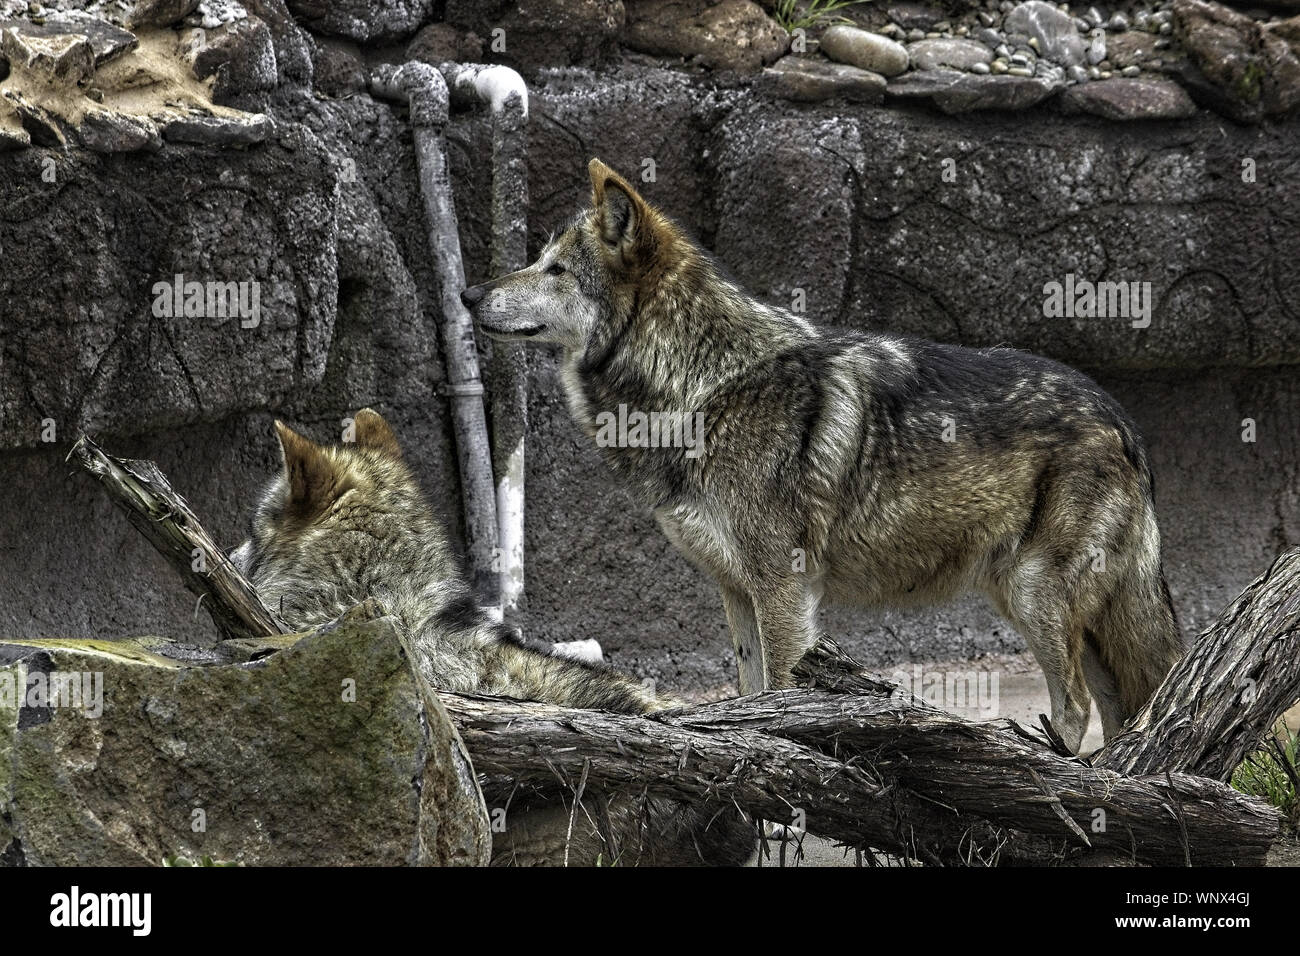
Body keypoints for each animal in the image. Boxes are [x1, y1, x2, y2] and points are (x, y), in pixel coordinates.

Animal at [459, 158, 1186, 753]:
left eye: (555, 270)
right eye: (537, 260)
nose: (468, 294)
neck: (702, 382)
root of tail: (1121, 418)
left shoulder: (783, 584)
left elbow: (783, 690)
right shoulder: (736, 589)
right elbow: (752, 691)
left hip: (1036, 596)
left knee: (1077, 708)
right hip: (1057, 609)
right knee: (1128, 709)